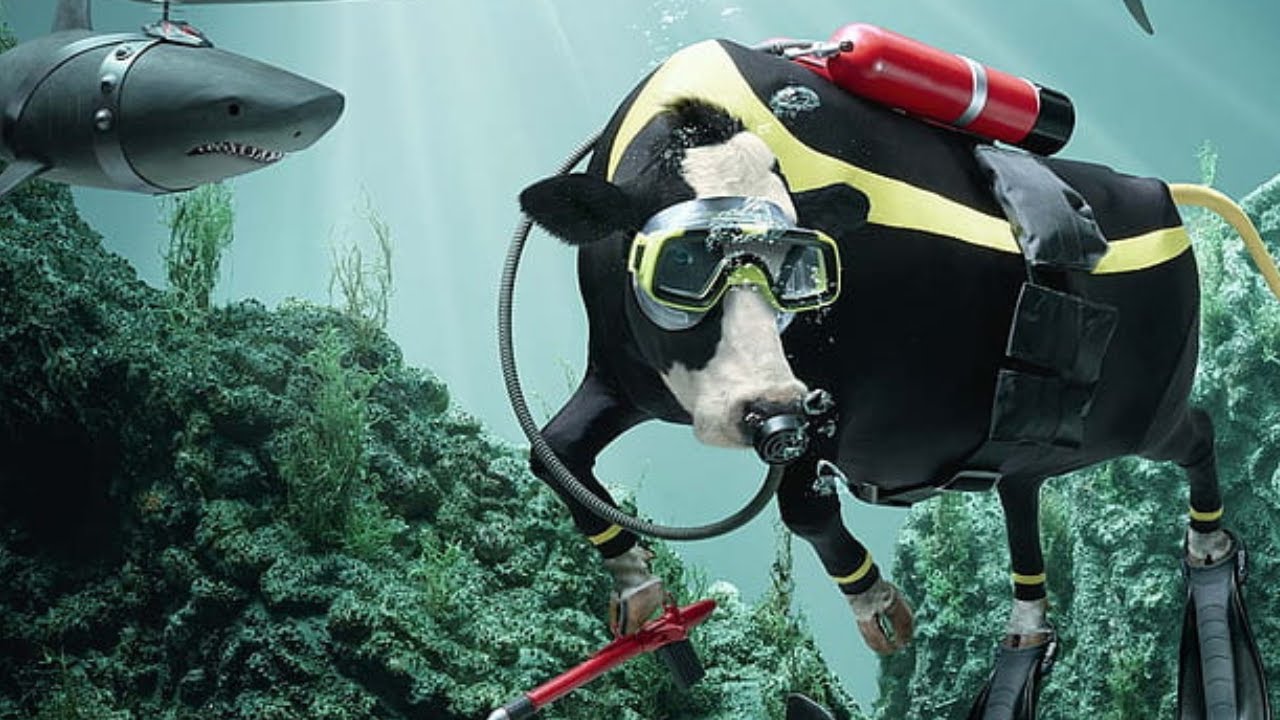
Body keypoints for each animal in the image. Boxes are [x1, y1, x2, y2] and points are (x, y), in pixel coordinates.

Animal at [517, 38, 1273, 719]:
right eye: (682, 263)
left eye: (801, 267)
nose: (768, 404)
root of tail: (1157, 188)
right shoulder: (622, 375)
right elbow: (552, 452)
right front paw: (637, 586)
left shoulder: (847, 403)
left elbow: (803, 504)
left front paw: (880, 608)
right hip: (1032, 445)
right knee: (1023, 505)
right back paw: (1023, 646)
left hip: (1145, 411)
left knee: (1198, 429)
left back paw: (1210, 564)